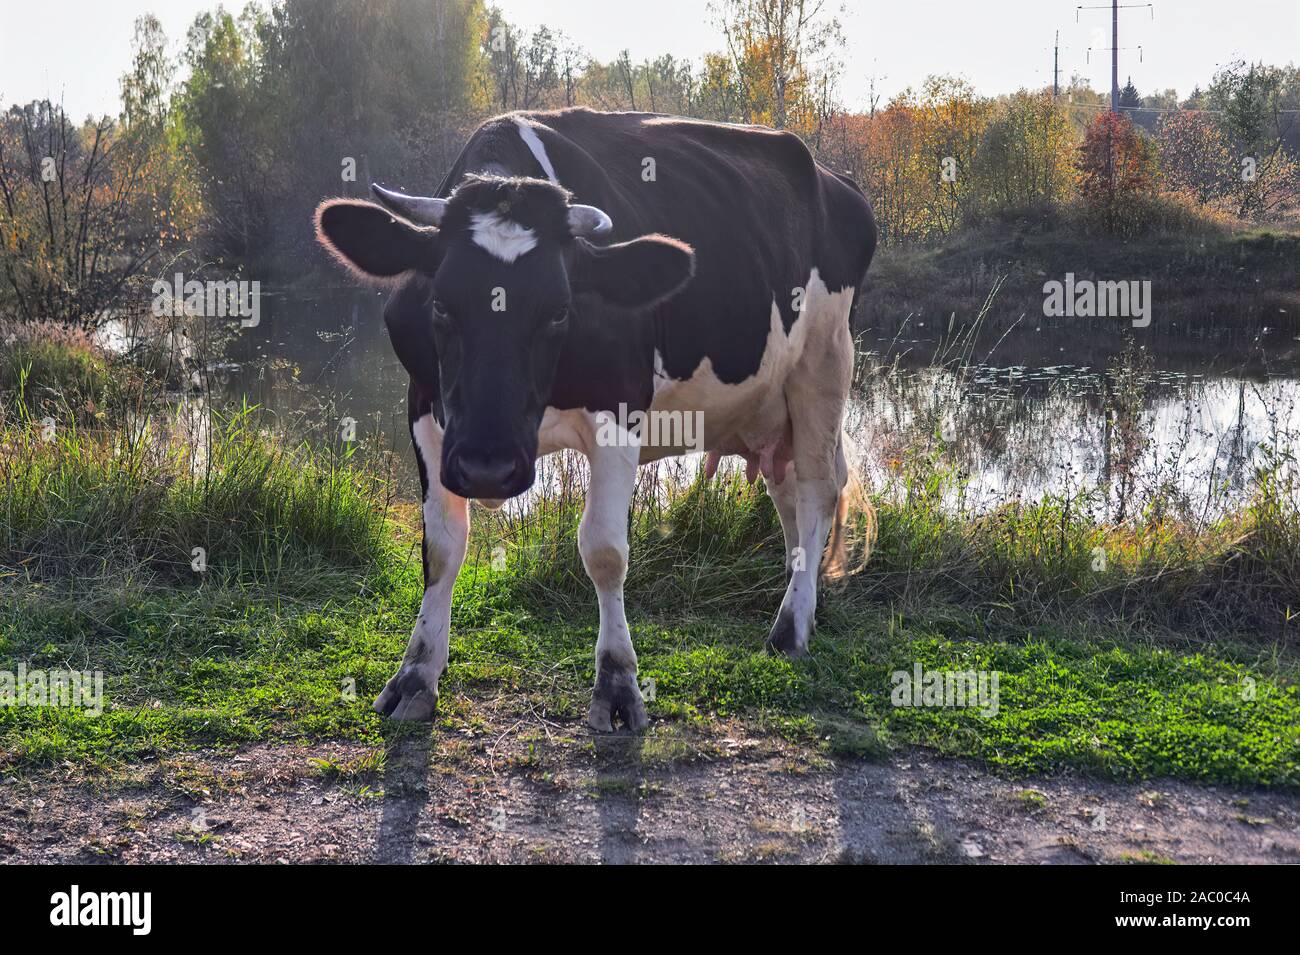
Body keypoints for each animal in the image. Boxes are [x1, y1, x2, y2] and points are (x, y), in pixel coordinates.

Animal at [314, 108, 877, 731]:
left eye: (560, 310)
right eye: (440, 304)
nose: (488, 468)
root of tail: (836, 181)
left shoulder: (621, 407)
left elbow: (605, 551)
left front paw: (617, 684)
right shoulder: (425, 409)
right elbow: (440, 547)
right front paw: (415, 676)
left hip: (825, 361)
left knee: (818, 490)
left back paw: (791, 628)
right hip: (768, 403)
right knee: (787, 492)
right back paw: (799, 600)